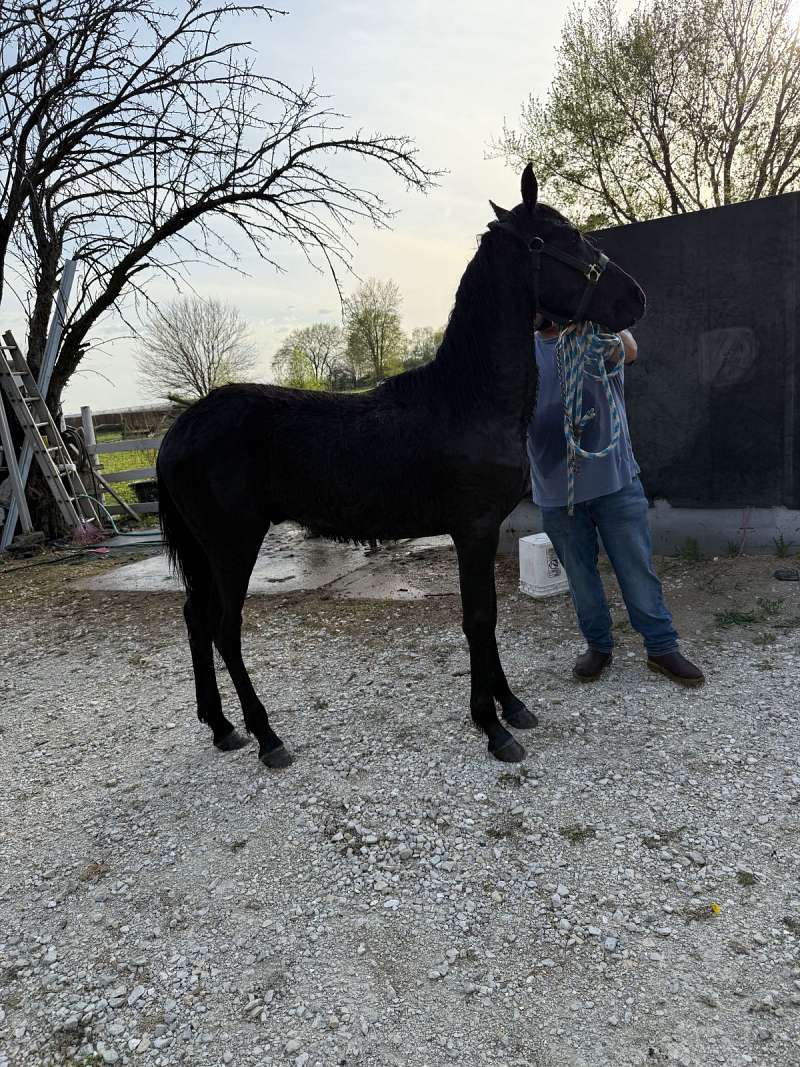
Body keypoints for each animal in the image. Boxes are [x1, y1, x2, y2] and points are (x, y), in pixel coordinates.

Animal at [156, 164, 646, 769]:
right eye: (566, 236)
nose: (636, 299)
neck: (467, 398)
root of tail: (179, 430)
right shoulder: (474, 530)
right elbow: (478, 619)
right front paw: (492, 726)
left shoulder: (480, 532)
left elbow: (488, 618)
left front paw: (512, 707)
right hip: (232, 546)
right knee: (226, 630)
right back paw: (267, 737)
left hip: (206, 551)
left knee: (197, 621)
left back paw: (223, 727)